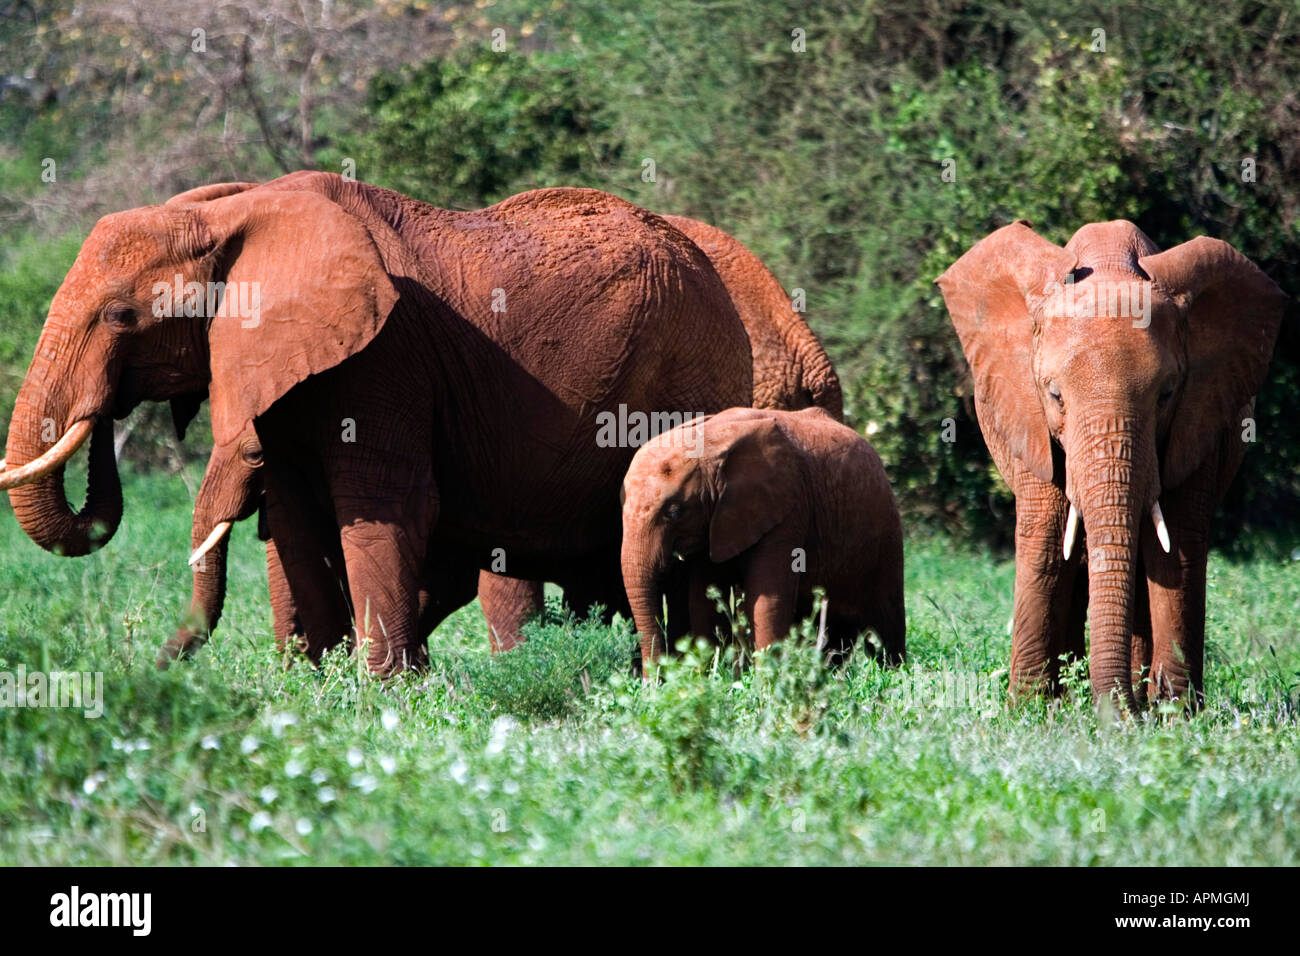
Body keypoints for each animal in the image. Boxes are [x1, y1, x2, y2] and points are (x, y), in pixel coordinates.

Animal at [1, 170, 754, 674]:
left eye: (121, 316)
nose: (152, 667)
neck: (234, 216)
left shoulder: (384, 358)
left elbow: (385, 509)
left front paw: (388, 695)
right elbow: (296, 517)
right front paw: (321, 690)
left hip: (693, 376)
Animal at [620, 406, 905, 667]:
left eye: (675, 512)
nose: (653, 682)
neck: (708, 441)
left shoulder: (788, 508)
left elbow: (768, 600)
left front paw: (767, 681)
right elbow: (704, 601)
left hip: (886, 528)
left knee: (886, 619)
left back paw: (892, 670)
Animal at [936, 219, 1287, 712]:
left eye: (1166, 395)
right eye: (1054, 394)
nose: (1124, 716)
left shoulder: (1200, 416)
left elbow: (1176, 544)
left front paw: (1176, 716)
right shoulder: (1028, 417)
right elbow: (1047, 534)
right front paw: (1028, 711)